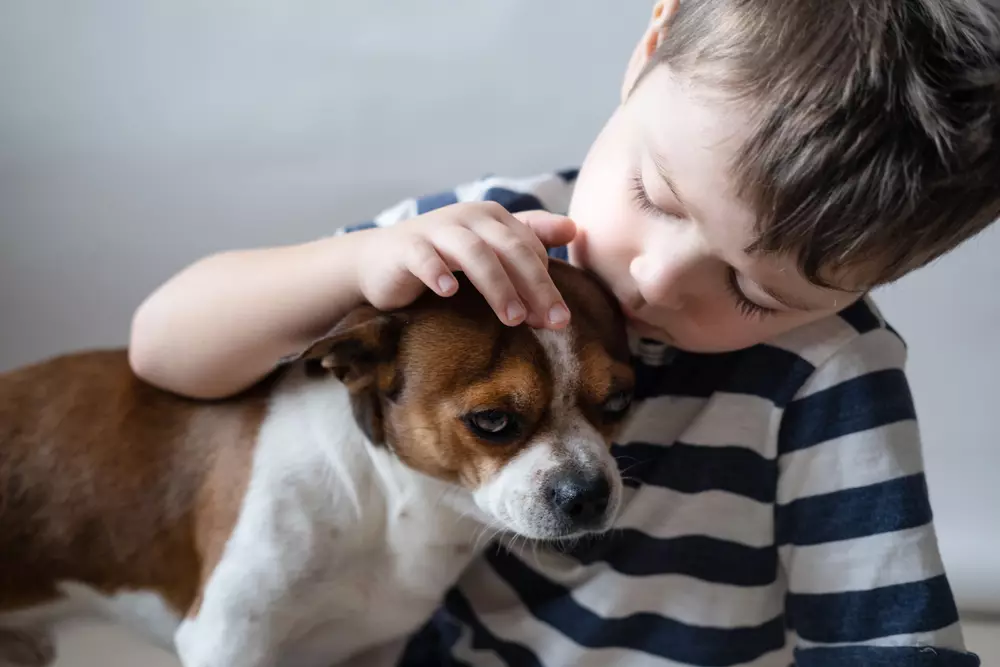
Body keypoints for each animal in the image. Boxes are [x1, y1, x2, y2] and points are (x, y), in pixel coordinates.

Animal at [0, 260, 636, 667]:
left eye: (619, 403)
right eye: (493, 421)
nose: (588, 492)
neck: (392, 507)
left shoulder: (376, 647)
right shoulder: (226, 640)